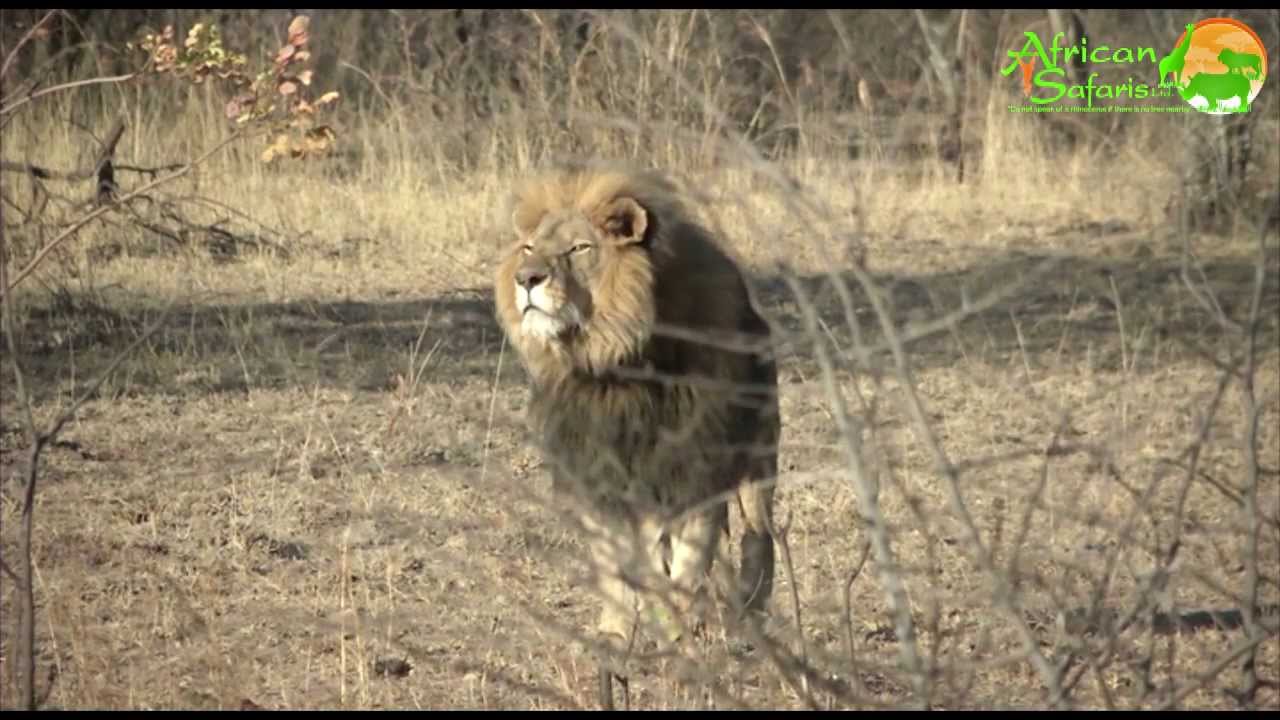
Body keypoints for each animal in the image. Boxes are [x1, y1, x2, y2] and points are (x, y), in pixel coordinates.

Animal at [493, 163, 781, 709]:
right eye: (528, 249)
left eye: (579, 248)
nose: (527, 279)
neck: (613, 368)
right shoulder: (600, 483)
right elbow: (620, 575)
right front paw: (615, 642)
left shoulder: (694, 471)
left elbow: (686, 572)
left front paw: (682, 645)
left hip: (758, 450)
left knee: (759, 533)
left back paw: (747, 602)